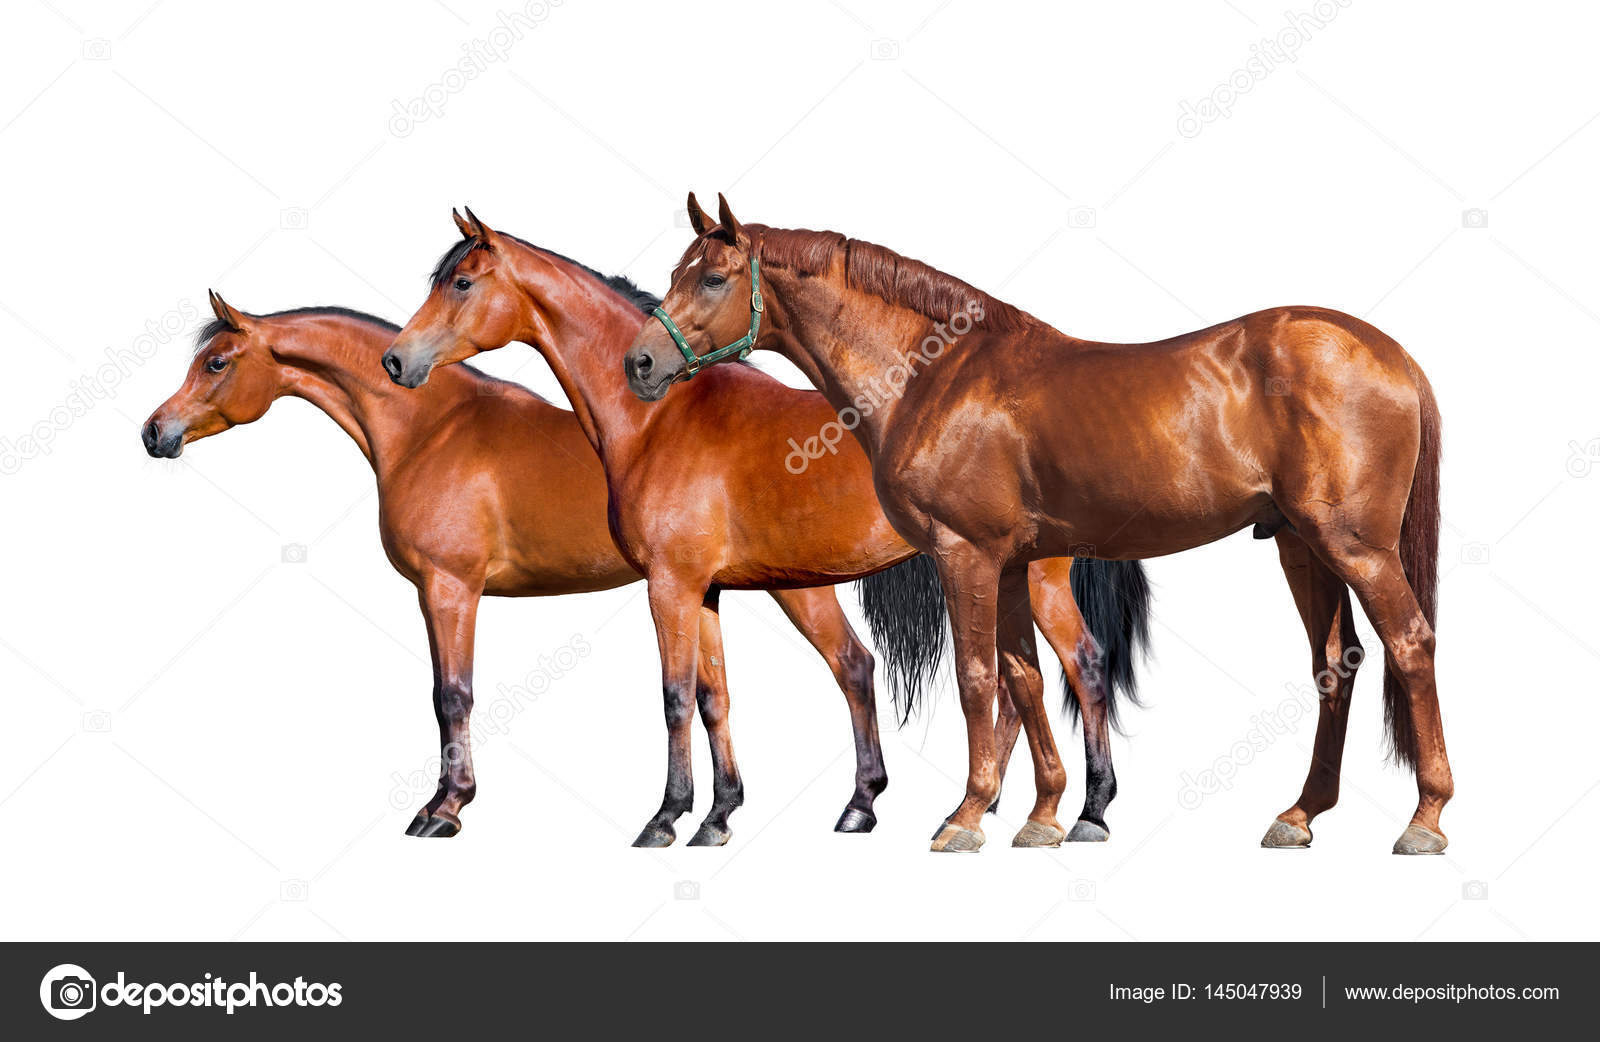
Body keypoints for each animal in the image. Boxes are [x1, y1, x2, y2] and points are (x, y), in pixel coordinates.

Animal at [142, 292, 955, 841]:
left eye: (216, 362)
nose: (155, 431)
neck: (429, 428)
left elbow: (452, 696)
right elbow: (708, 696)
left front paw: (445, 808)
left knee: (855, 668)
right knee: (847, 668)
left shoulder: (449, 590)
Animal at [381, 208, 1152, 848]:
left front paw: (665, 818)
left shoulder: (669, 586)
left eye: (461, 282)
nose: (398, 359)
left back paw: (1073, 811)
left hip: (1016, 574)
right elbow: (714, 697)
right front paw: (716, 818)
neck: (660, 421)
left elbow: (674, 697)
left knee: (1074, 666)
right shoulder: (706, 590)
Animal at [625, 193, 1450, 856]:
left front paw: (965, 818)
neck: (935, 375)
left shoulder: (964, 556)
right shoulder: (1013, 563)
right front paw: (1046, 816)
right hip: (1301, 548)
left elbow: (977, 680)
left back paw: (1425, 820)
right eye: (677, 271)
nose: (641, 363)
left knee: (1411, 643)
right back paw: (1300, 815)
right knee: (1337, 663)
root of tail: (1393, 355)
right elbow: (1022, 678)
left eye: (713, 277)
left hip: (1355, 547)